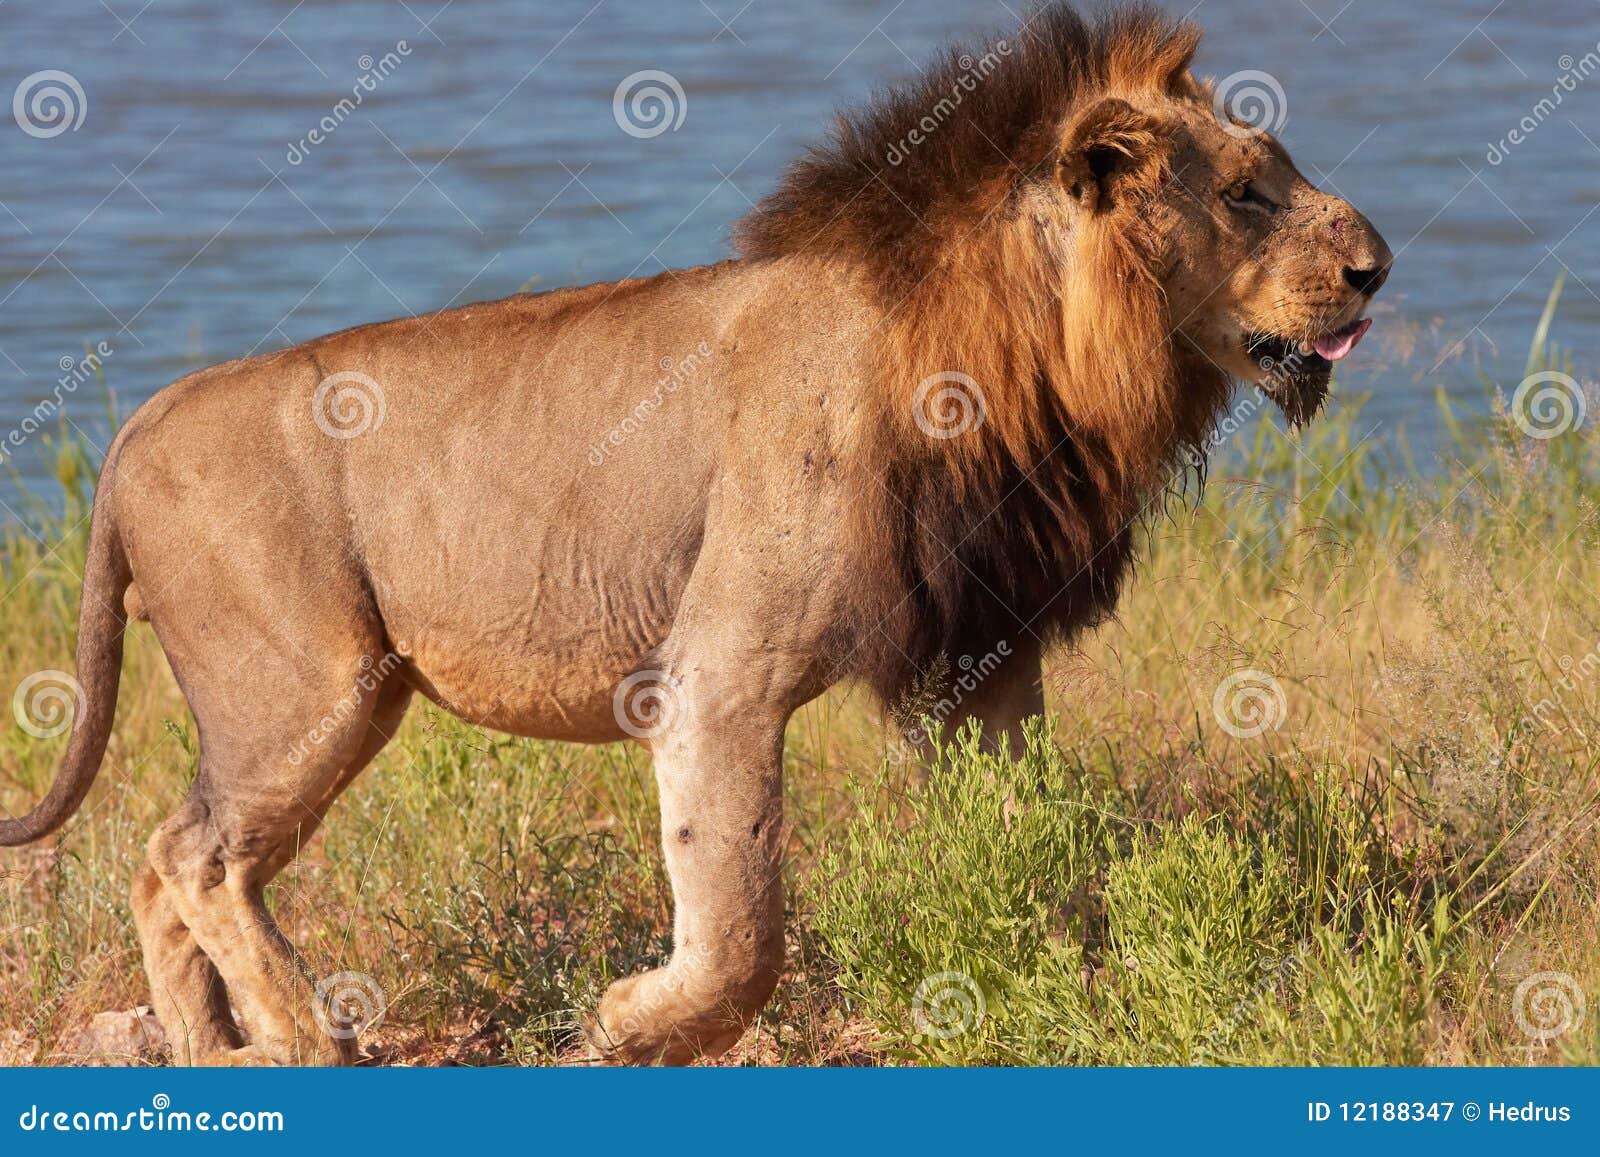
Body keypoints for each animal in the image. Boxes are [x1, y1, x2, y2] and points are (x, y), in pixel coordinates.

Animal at [0, 2, 1389, 1065]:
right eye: (1248, 193)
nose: (1376, 267)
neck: (1025, 356)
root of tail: (137, 427)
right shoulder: (718, 673)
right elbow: (739, 919)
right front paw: (631, 1023)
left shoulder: (978, 652)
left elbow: (1038, 838)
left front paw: (1063, 980)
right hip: (310, 685)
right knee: (197, 859)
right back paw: (305, 1041)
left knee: (161, 861)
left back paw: (209, 1054)